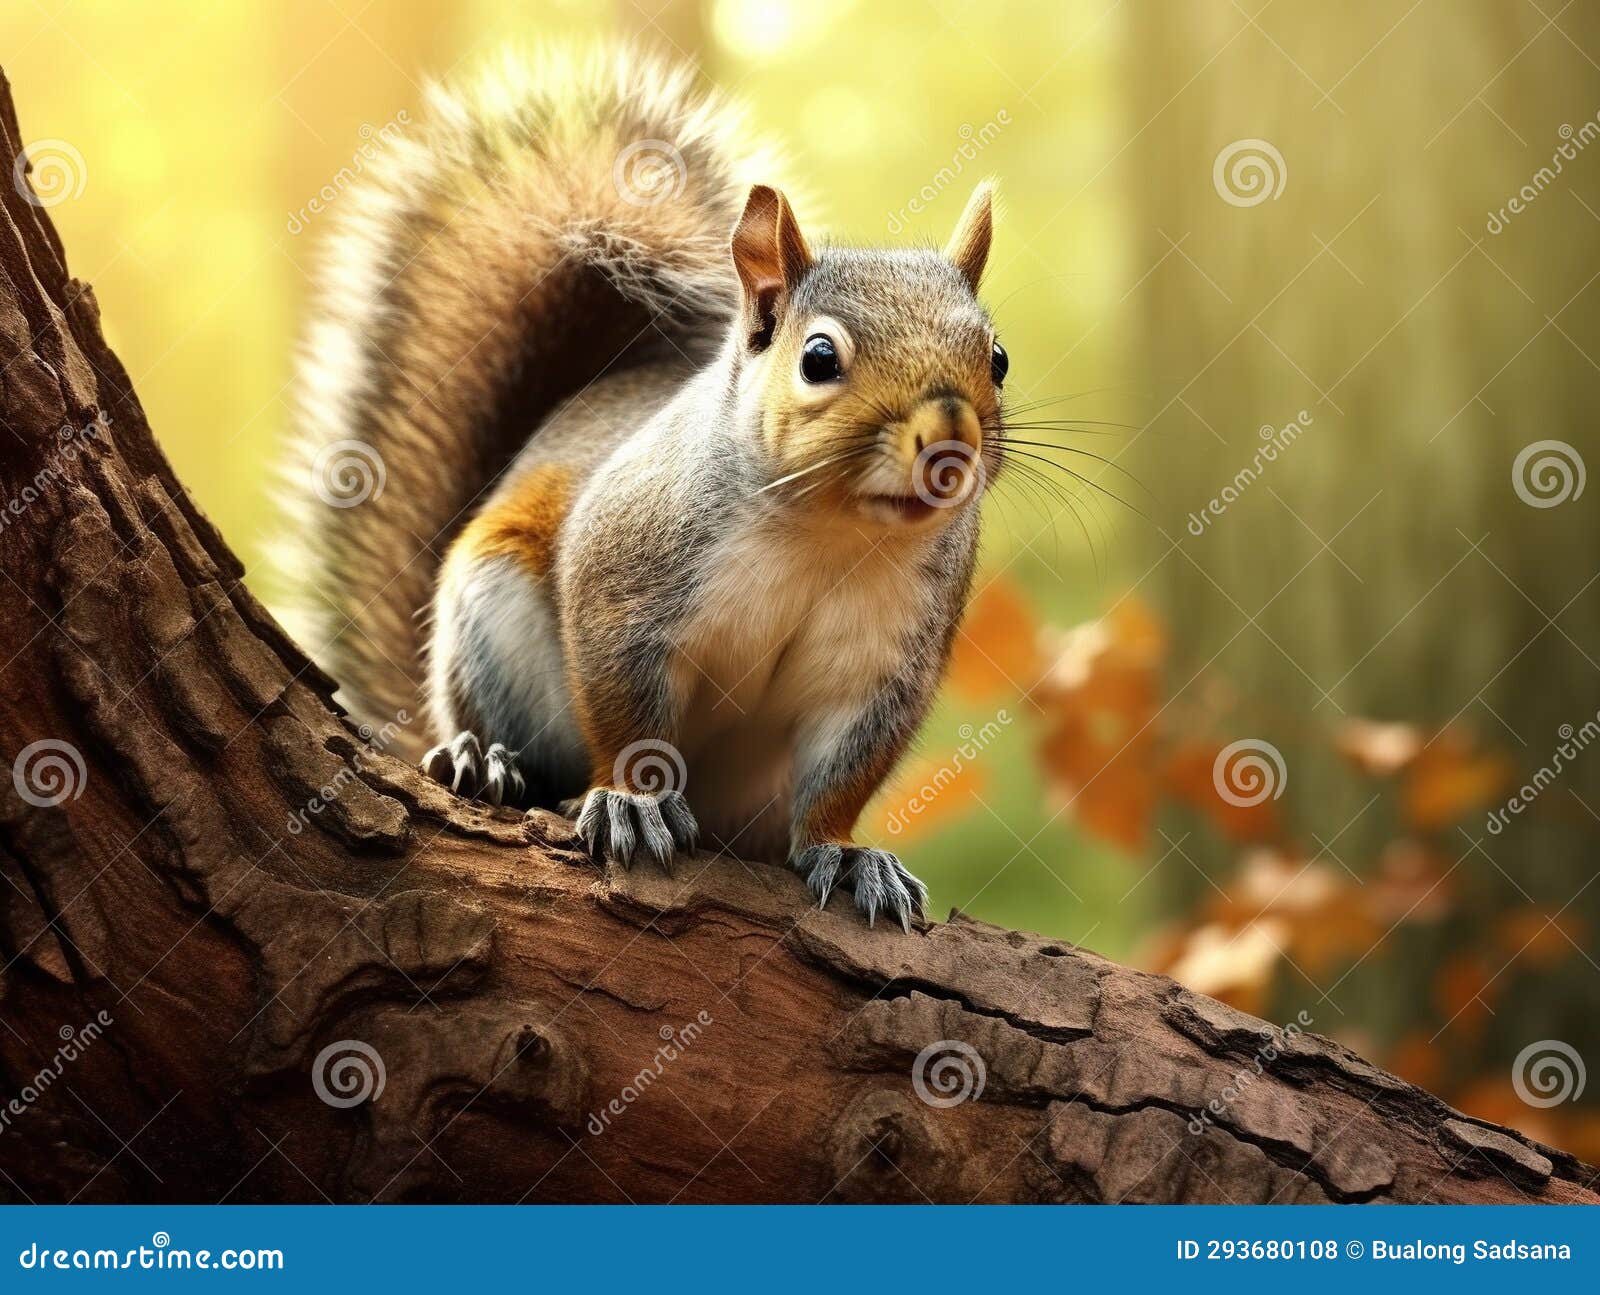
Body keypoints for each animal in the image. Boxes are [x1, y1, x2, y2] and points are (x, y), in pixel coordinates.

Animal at [279, 47, 1010, 930]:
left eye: (998, 358)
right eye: (819, 358)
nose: (950, 442)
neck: (827, 532)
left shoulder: (886, 660)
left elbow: (846, 774)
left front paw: (845, 853)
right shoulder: (623, 582)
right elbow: (627, 716)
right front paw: (634, 802)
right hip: (491, 616)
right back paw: (485, 764)